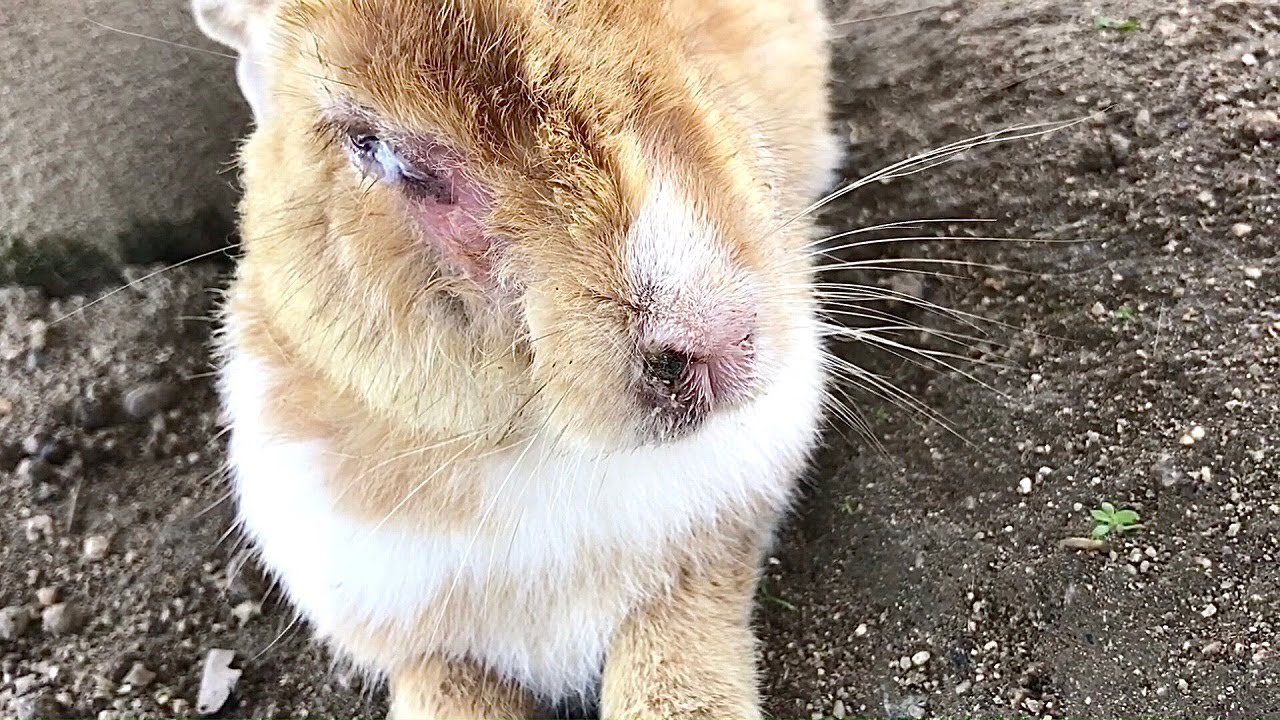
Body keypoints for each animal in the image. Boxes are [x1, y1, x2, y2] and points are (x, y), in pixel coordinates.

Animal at [196, 0, 842, 716]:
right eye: (371, 145)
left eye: (679, 40)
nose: (719, 339)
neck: (545, 448)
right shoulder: (426, 646)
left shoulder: (706, 557)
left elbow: (674, 672)